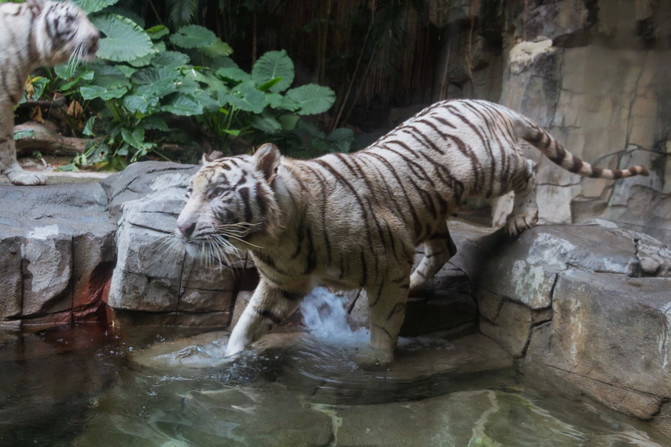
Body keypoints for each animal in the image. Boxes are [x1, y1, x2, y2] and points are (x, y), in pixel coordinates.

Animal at [175, 99, 648, 364]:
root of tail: (489, 102)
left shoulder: (385, 267)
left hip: (486, 169)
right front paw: (226, 360)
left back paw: (520, 217)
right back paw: (420, 283)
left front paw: (376, 361)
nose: (181, 228)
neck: (273, 237)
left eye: (218, 193)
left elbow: (385, 321)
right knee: (446, 247)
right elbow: (249, 322)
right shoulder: (282, 284)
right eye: (189, 191)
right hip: (429, 211)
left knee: (528, 167)